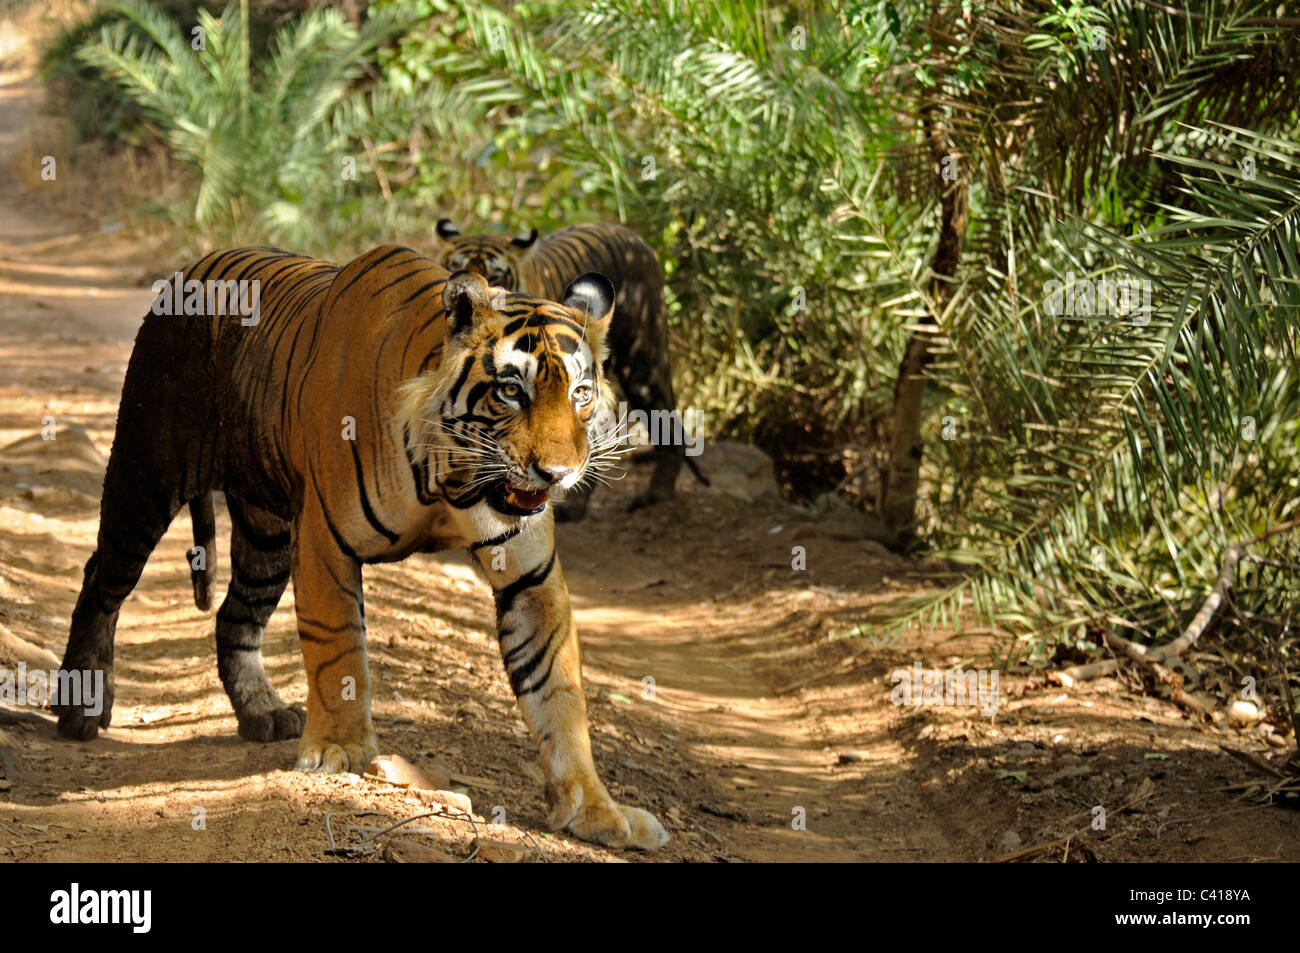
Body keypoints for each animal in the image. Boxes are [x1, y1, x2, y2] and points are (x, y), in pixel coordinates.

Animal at [53, 244, 669, 850]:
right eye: (511, 391)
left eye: (581, 394)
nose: (558, 474)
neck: (452, 477)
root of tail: (191, 270)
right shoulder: (325, 541)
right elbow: (339, 649)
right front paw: (342, 750)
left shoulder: (530, 577)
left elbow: (557, 691)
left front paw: (595, 809)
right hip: (145, 479)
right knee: (101, 580)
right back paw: (80, 706)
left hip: (267, 537)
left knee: (234, 618)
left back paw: (262, 713)